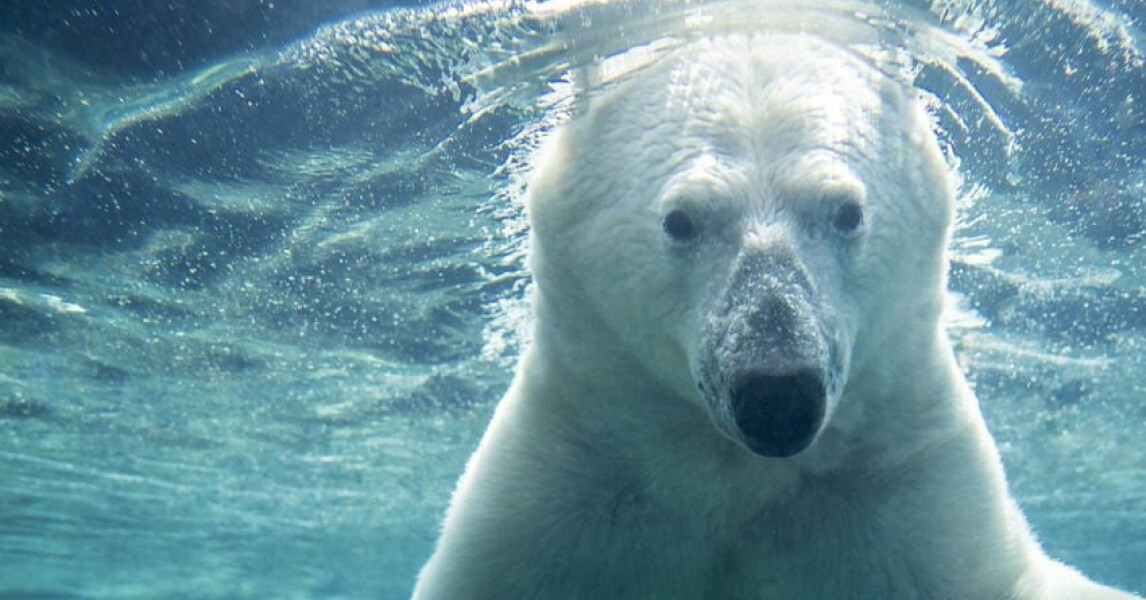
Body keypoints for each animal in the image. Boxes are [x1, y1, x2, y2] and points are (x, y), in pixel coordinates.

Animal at [412, 32, 1142, 600]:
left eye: (846, 211)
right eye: (681, 220)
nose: (777, 393)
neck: (735, 482)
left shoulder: (907, 497)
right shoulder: (562, 495)